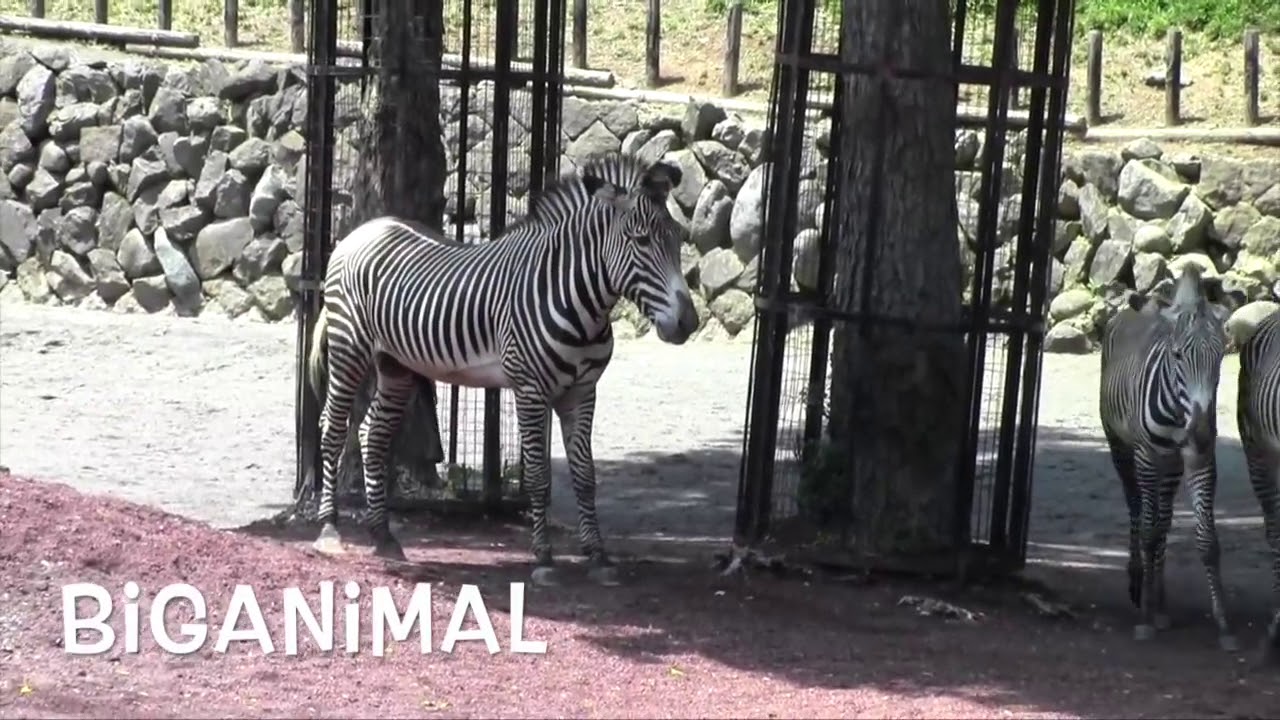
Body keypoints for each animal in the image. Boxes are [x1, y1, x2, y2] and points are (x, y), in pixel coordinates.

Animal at [302, 153, 698, 587]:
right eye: (641, 240)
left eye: (678, 237)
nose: (688, 322)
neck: (575, 296)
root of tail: (364, 229)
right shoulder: (530, 389)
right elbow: (539, 476)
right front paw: (543, 559)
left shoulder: (582, 391)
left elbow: (585, 475)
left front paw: (597, 556)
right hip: (349, 346)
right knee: (332, 428)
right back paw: (329, 530)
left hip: (395, 364)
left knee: (373, 436)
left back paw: (383, 536)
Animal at [1098, 264, 1243, 651]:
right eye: (1177, 356)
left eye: (1220, 358)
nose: (1202, 434)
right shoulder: (1148, 456)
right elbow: (1149, 532)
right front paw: (1145, 620)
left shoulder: (1198, 460)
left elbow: (1207, 540)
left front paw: (1224, 626)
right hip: (1122, 448)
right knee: (1137, 509)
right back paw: (1139, 585)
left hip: (1172, 465)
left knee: (1162, 518)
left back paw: (1160, 599)